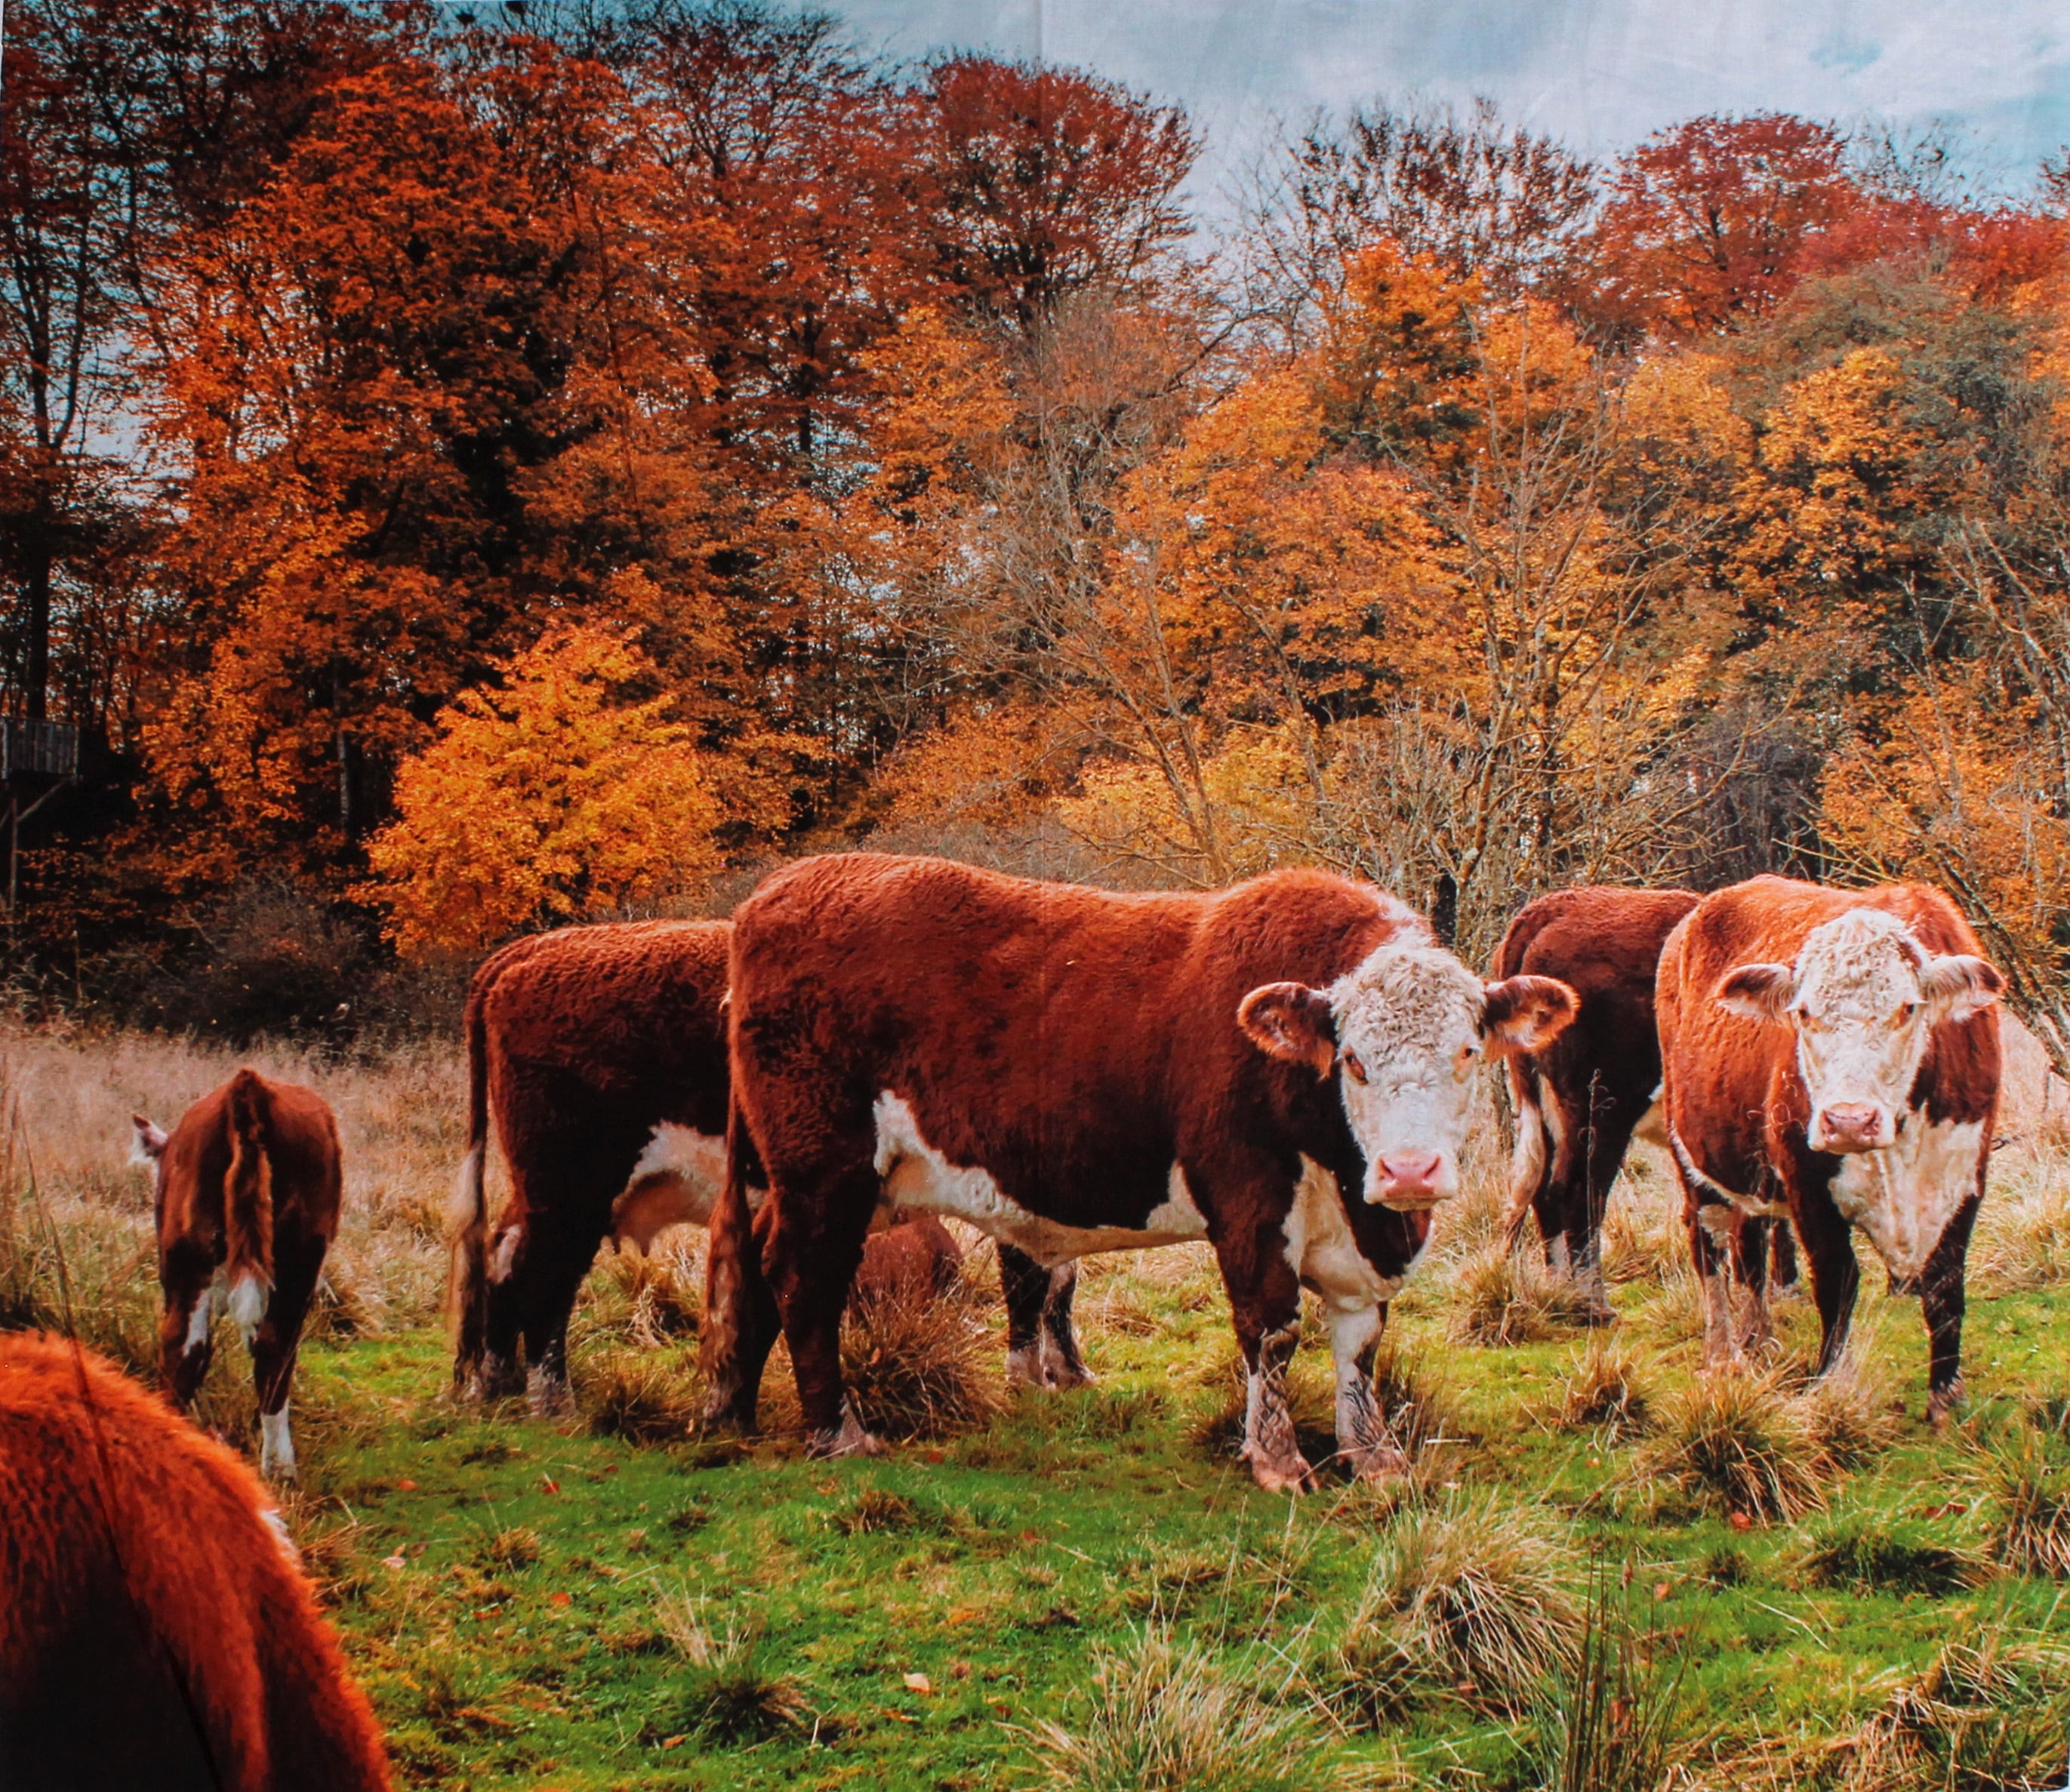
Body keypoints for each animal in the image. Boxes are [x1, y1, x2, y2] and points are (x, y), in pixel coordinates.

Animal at [132, 1069, 342, 1483]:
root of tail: (247, 1086)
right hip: (295, 1262)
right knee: (273, 1348)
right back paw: (279, 1466)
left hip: (191, 1261)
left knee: (185, 1347)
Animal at [448, 919, 1089, 1413]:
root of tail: (531, 951)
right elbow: (1033, 1280)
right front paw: (1032, 1381)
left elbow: (1061, 1282)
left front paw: (1070, 1373)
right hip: (569, 1182)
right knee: (544, 1272)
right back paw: (552, 1400)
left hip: (542, 1184)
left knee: (505, 1254)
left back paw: (498, 1382)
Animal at [703, 854, 1579, 1492]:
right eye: (1354, 1061)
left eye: (1467, 1051)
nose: (1408, 1169)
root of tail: (777, 891)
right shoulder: (1248, 1204)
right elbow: (1272, 1329)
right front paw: (1278, 1461)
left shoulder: (1366, 1243)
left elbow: (1359, 1346)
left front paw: (1375, 1458)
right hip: (823, 1171)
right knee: (801, 1277)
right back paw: (836, 1431)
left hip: (785, 1176)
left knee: (750, 1266)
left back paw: (732, 1409)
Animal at [1655, 876, 2003, 1420]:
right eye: (1803, 1013)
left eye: (1908, 1008)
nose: (1849, 1121)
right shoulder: (1808, 1185)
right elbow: (1838, 1282)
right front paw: (1833, 1383)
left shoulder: (1965, 1178)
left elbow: (1945, 1286)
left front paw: (1946, 1399)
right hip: (1691, 1158)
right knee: (1710, 1248)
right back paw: (1723, 1355)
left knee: (1751, 1251)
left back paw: (1760, 1341)